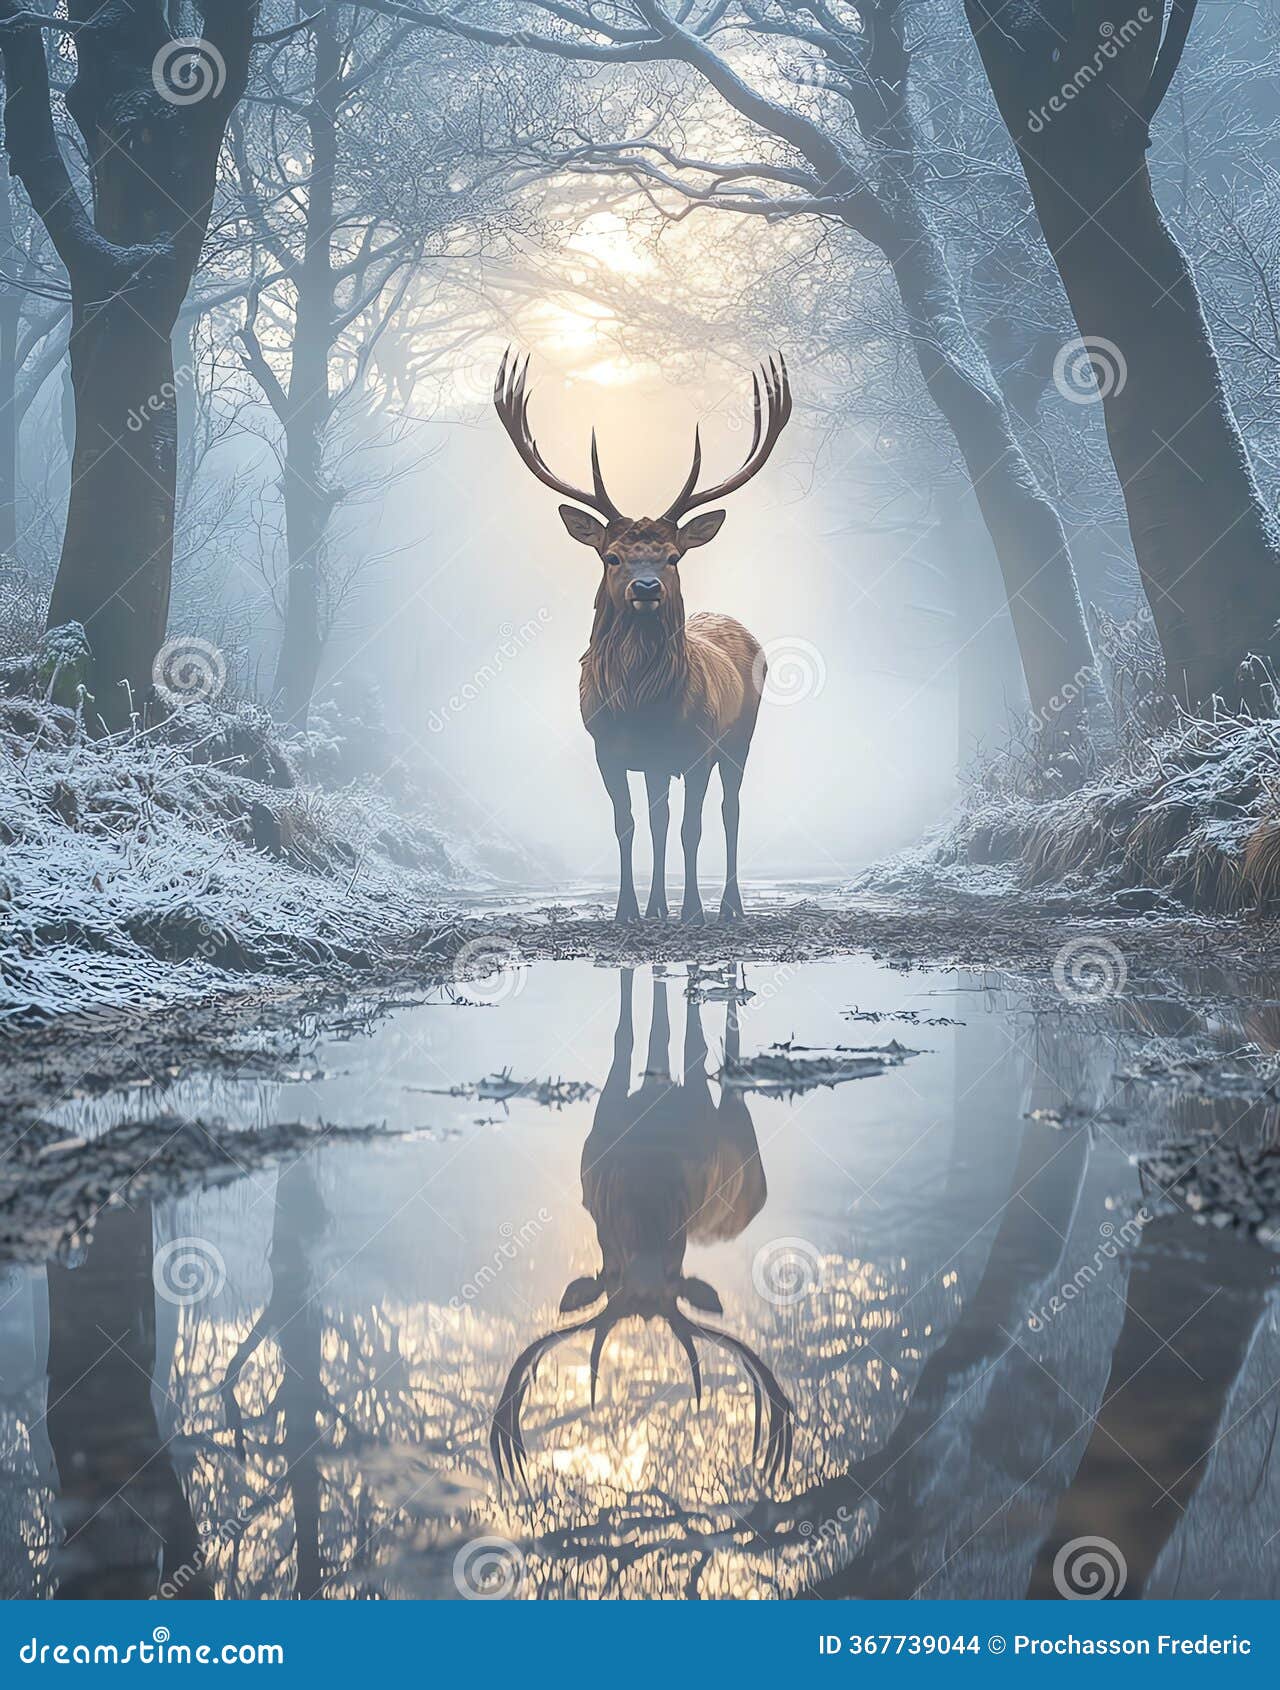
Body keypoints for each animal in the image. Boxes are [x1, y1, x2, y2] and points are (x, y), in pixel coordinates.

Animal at [490, 969, 794, 1490]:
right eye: (612, 1277)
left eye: (675, 1270)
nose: (648, 1268)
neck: (646, 1189)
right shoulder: (605, 1123)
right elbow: (628, 1038)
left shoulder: (694, 1107)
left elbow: (688, 1043)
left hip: (740, 1121)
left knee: (720, 1054)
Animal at [494, 352, 793, 924]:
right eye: (612, 556)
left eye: (673, 556)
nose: (647, 587)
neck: (640, 704)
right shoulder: (608, 750)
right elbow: (630, 825)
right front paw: (628, 911)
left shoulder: (696, 748)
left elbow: (691, 827)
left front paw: (692, 911)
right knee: (661, 820)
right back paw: (658, 907)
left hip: (739, 736)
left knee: (731, 811)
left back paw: (730, 907)